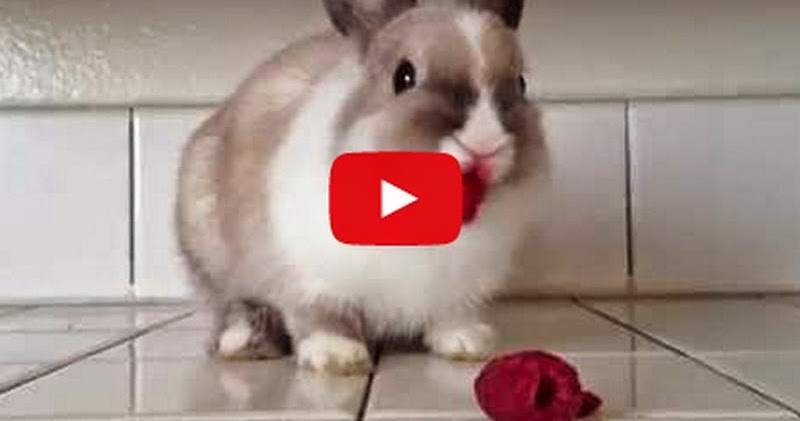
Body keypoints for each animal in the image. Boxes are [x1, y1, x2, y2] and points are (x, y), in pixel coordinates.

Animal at [176, 0, 545, 375]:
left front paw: (467, 343)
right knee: (235, 304)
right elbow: (323, 315)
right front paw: (337, 356)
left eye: (521, 83)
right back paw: (242, 343)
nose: (486, 143)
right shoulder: (311, 275)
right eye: (404, 77)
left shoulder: (461, 285)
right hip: (213, 255)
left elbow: (452, 315)